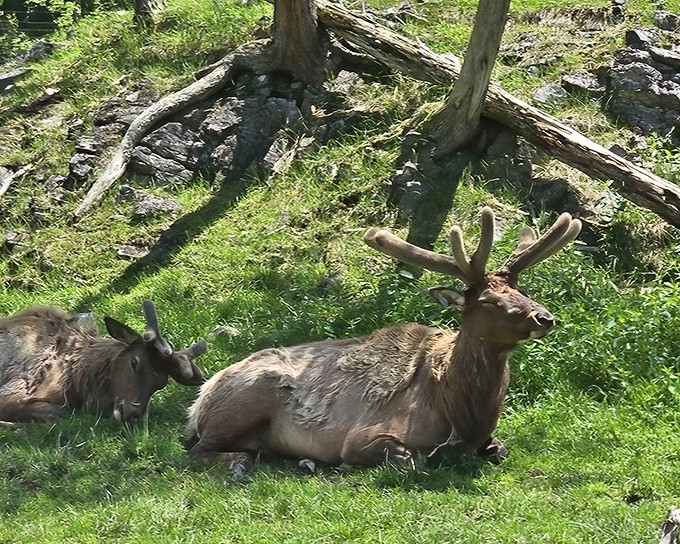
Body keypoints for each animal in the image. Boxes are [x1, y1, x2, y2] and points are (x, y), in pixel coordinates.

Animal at [184, 207, 581, 475]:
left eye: (522, 291)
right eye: (488, 301)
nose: (545, 317)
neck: (462, 413)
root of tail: (199, 401)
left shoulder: (487, 438)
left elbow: (501, 450)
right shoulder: (362, 435)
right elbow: (411, 459)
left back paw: (301, 461)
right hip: (247, 396)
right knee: (196, 449)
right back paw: (240, 462)